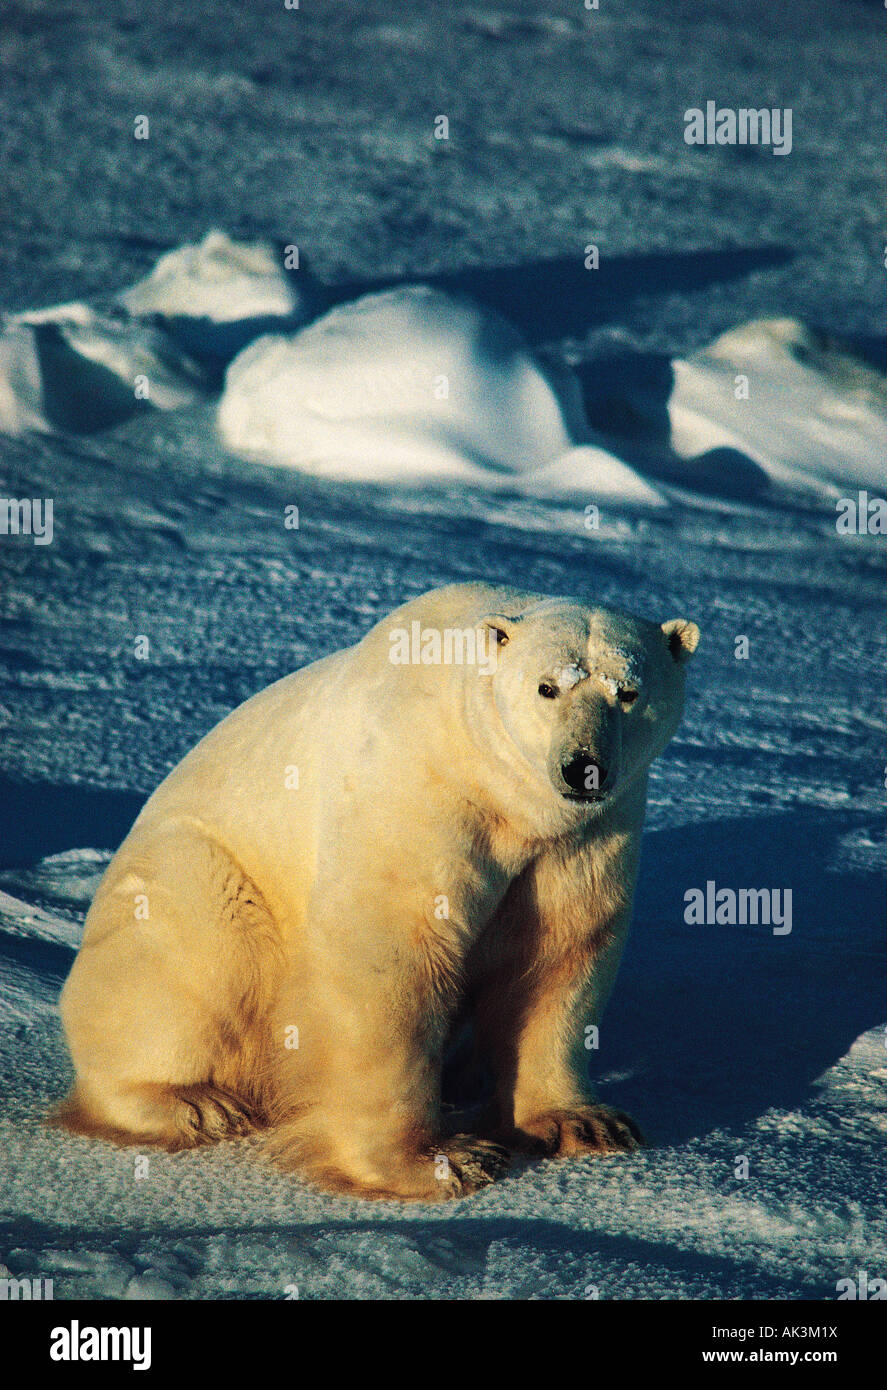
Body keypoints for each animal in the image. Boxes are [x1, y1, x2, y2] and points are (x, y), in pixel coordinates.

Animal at [55, 583, 699, 1201]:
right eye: (547, 688)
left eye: (628, 691)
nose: (582, 767)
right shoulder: (419, 787)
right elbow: (393, 951)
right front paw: (440, 1161)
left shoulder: (586, 833)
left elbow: (559, 953)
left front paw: (582, 1124)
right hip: (191, 876)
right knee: (200, 953)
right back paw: (191, 1104)